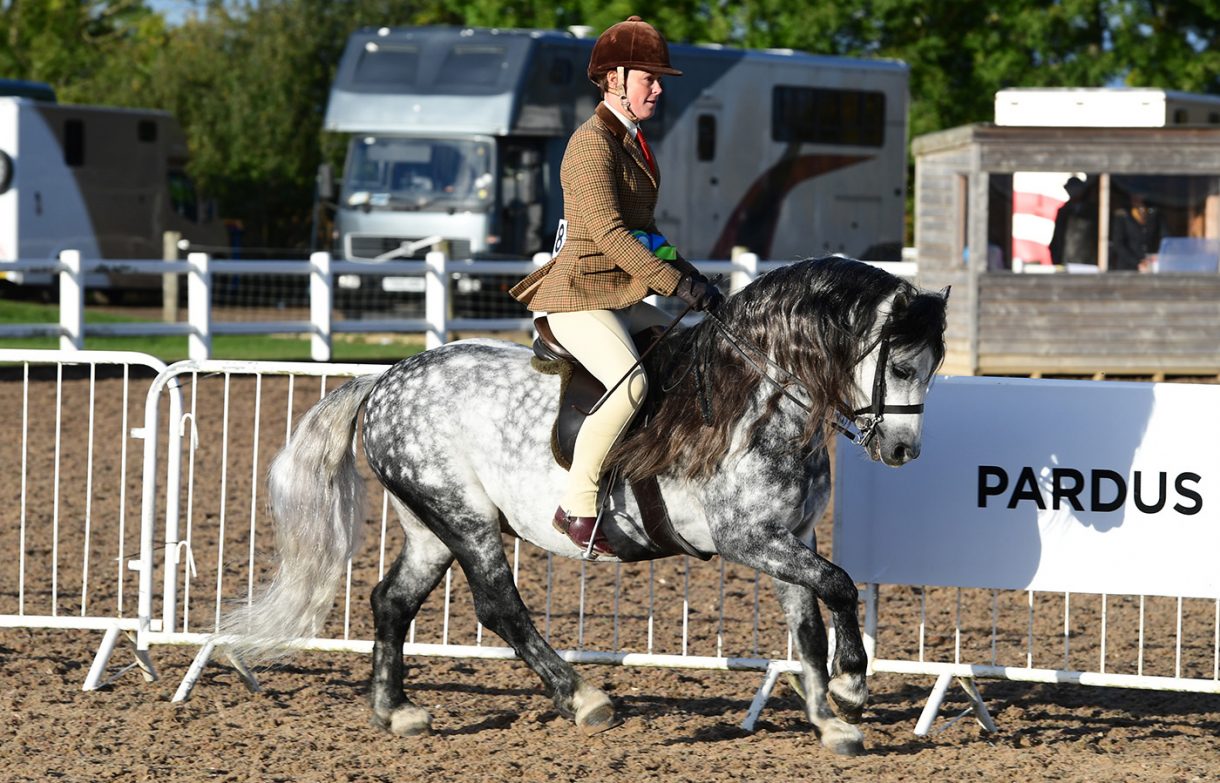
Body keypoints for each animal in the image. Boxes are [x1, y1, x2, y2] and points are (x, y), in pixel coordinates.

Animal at [216, 256, 948, 756]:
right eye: (900, 366)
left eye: (935, 367)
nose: (903, 450)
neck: (757, 397)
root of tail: (384, 378)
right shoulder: (748, 538)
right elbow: (841, 585)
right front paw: (853, 687)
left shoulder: (789, 534)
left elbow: (810, 622)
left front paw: (829, 720)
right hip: (465, 518)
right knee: (500, 606)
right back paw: (585, 697)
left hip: (431, 523)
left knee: (391, 601)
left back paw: (396, 711)